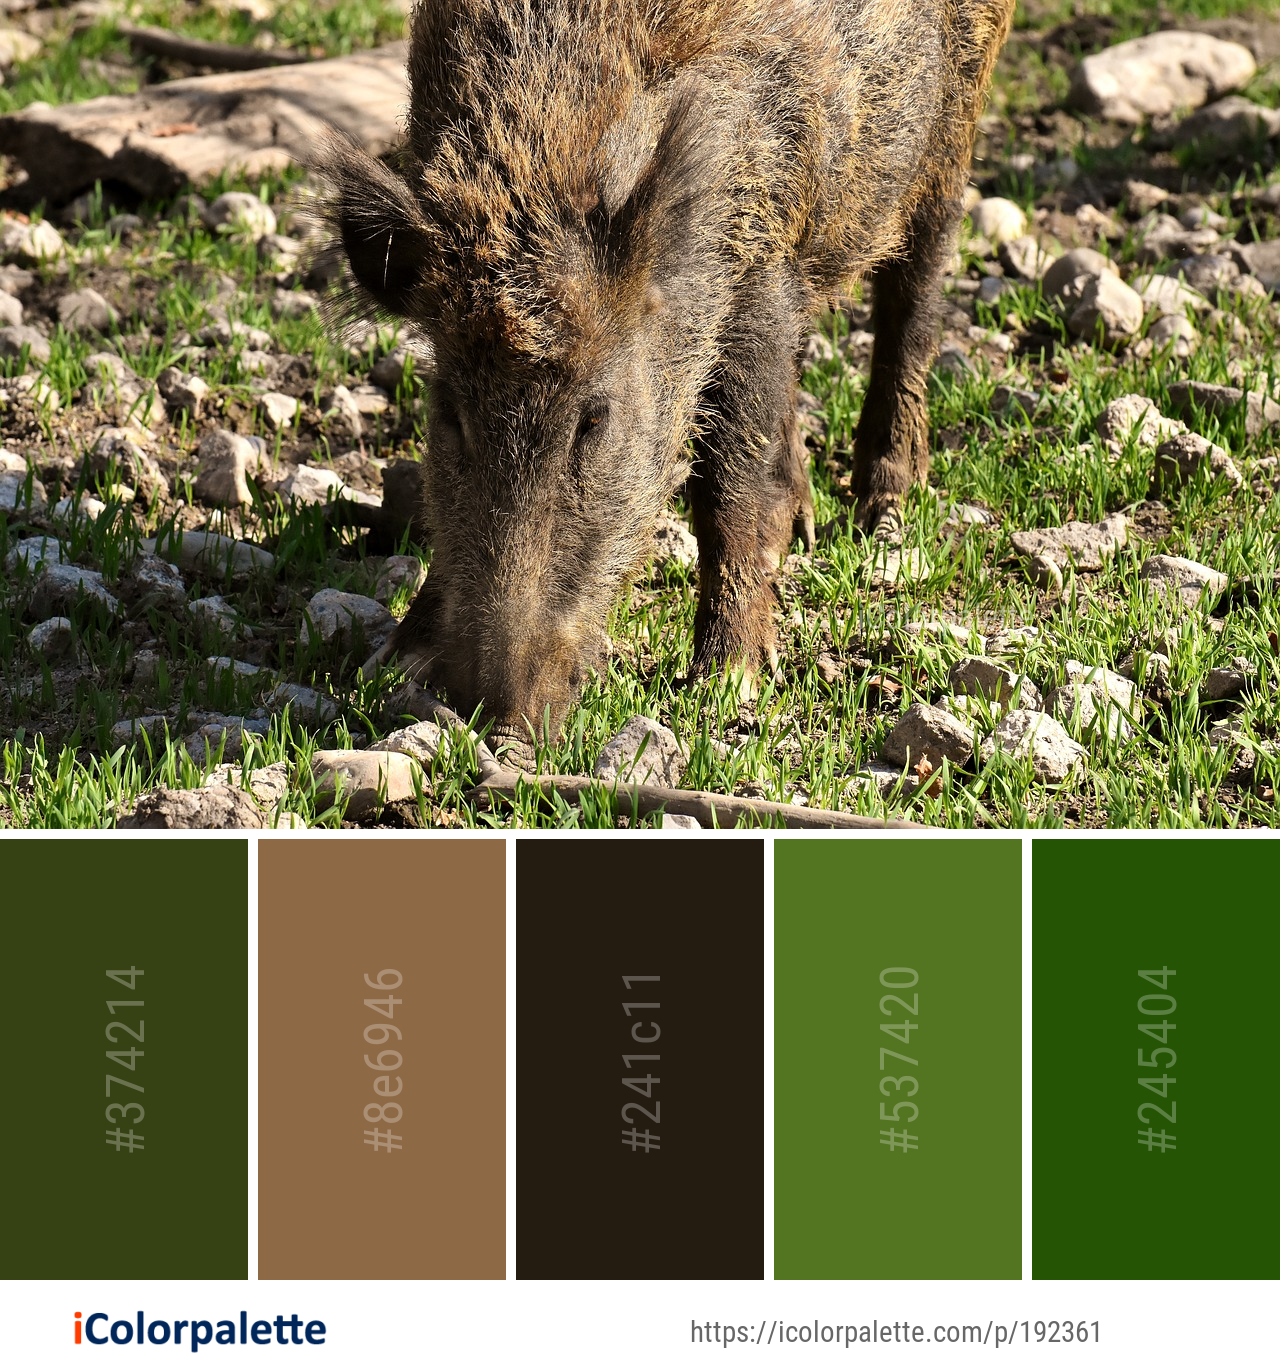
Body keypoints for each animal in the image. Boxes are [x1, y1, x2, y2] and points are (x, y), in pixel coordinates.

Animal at [322, 0, 1015, 747]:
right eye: (450, 412)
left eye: (594, 418)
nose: (496, 721)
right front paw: (393, 662)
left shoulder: (758, 266)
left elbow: (726, 485)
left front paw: (725, 685)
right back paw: (803, 527)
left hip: (957, 115)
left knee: (915, 286)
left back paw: (881, 514)